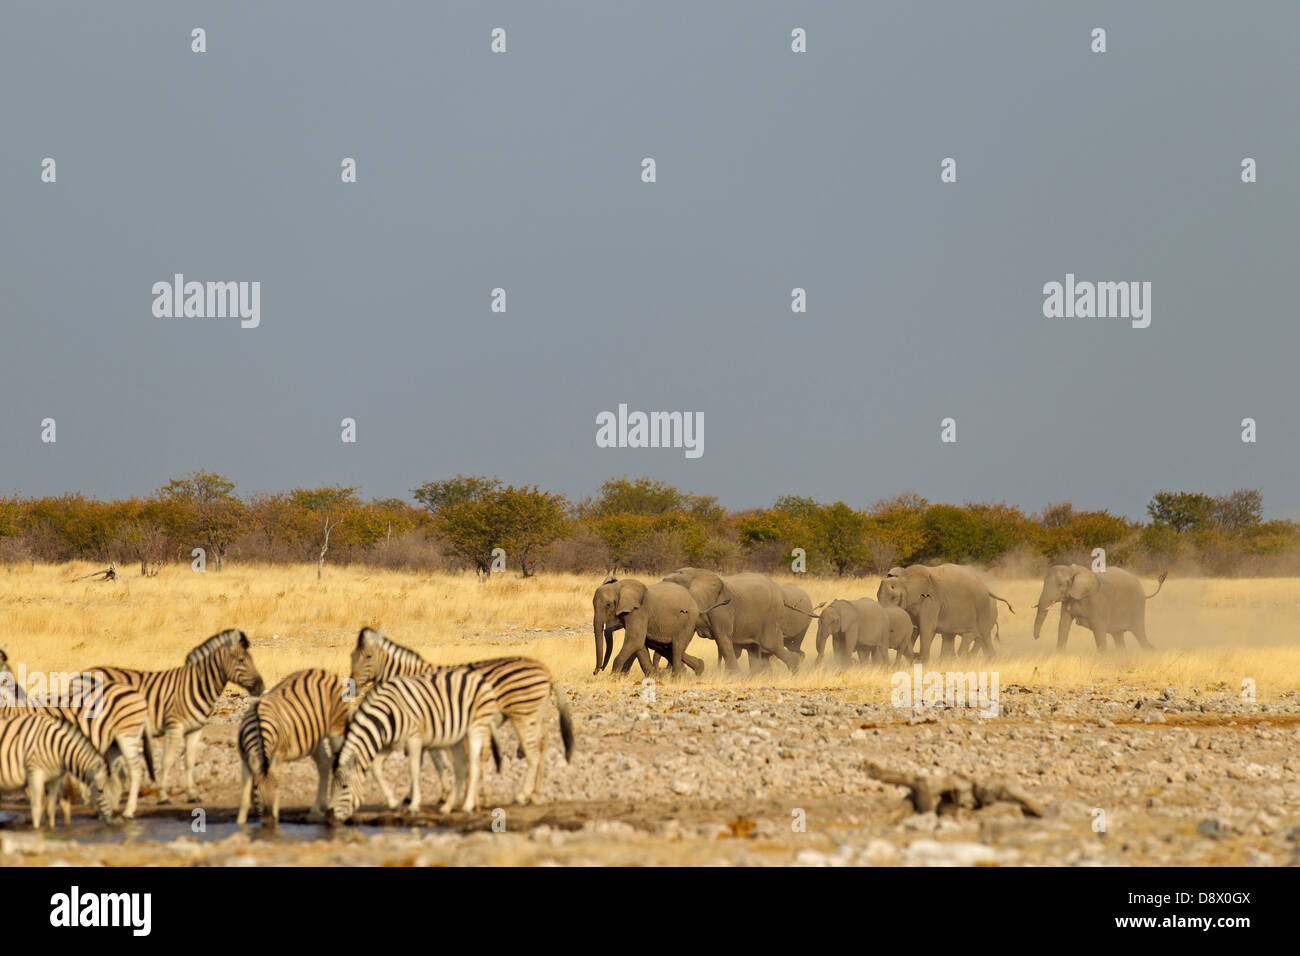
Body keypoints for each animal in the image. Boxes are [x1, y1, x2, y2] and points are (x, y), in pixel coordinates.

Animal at [661, 568, 800, 673]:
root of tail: (780, 593)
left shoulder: (721, 610)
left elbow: (722, 636)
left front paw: (733, 675)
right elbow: (685, 638)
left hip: (771, 616)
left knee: (770, 644)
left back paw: (795, 669)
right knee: (753, 649)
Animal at [877, 564, 1014, 662]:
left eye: (893, 598)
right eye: (877, 597)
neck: (905, 577)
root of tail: (987, 588)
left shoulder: (931, 601)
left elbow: (926, 628)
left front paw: (922, 661)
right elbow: (914, 629)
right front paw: (914, 658)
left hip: (983, 608)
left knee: (980, 636)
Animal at [1032, 565, 1166, 652]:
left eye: (1061, 585)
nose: (1037, 637)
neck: (1074, 570)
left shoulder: (1098, 602)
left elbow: (1098, 628)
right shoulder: (1069, 599)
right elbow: (1063, 624)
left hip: (1137, 607)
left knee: (1140, 634)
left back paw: (1152, 651)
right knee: (1118, 636)